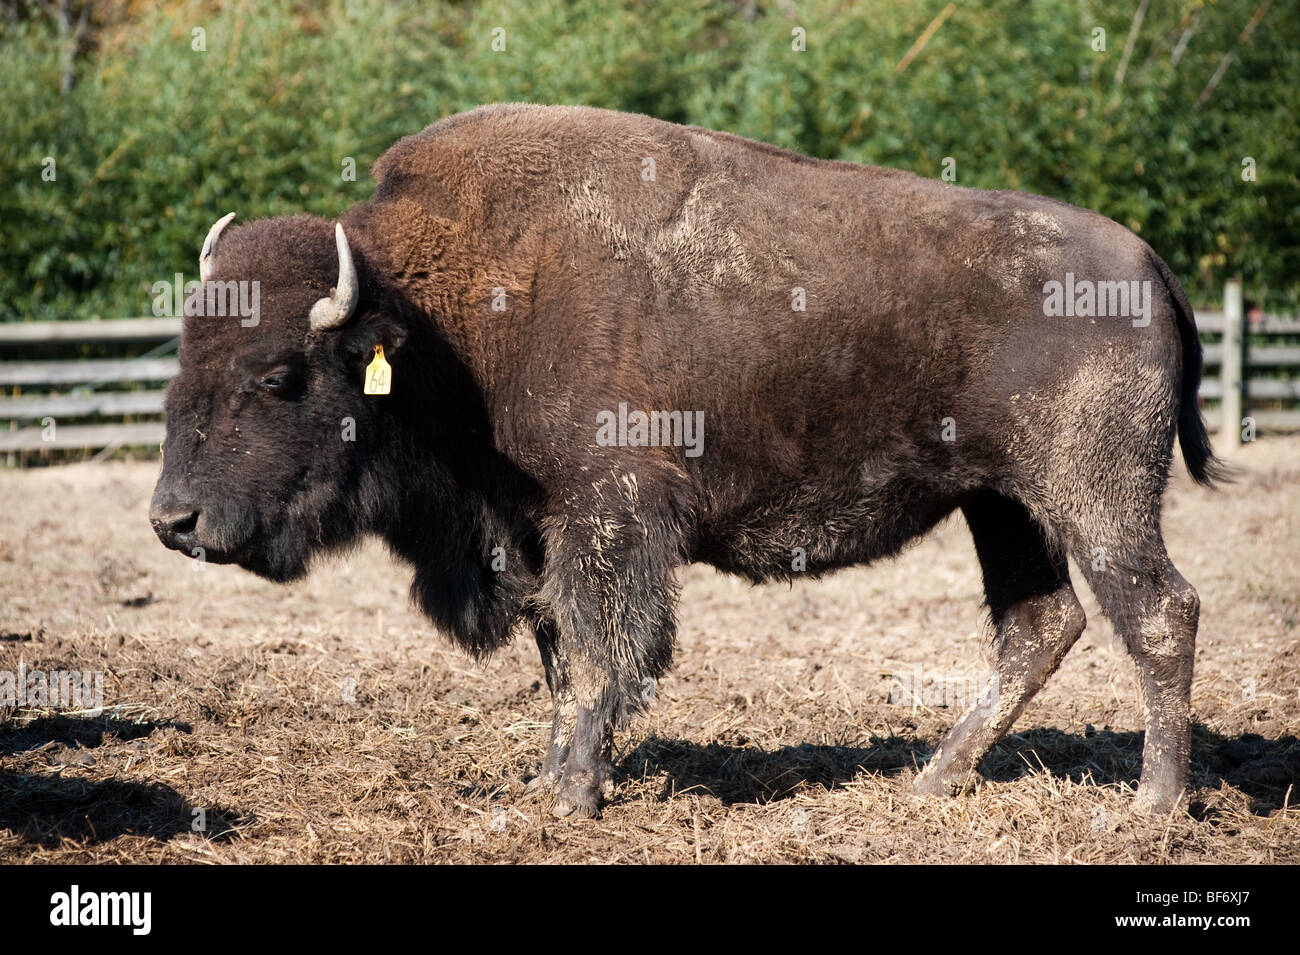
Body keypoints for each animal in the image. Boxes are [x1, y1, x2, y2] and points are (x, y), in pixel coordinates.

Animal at [151, 104, 1221, 817]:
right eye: (183, 352)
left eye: (279, 375)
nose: (173, 520)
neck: (440, 318)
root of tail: (1147, 263)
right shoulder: (535, 531)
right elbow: (558, 650)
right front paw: (551, 777)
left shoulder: (608, 515)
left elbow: (602, 651)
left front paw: (570, 793)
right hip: (1002, 504)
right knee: (1039, 624)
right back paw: (931, 779)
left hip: (1094, 494)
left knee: (1159, 612)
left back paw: (1151, 806)